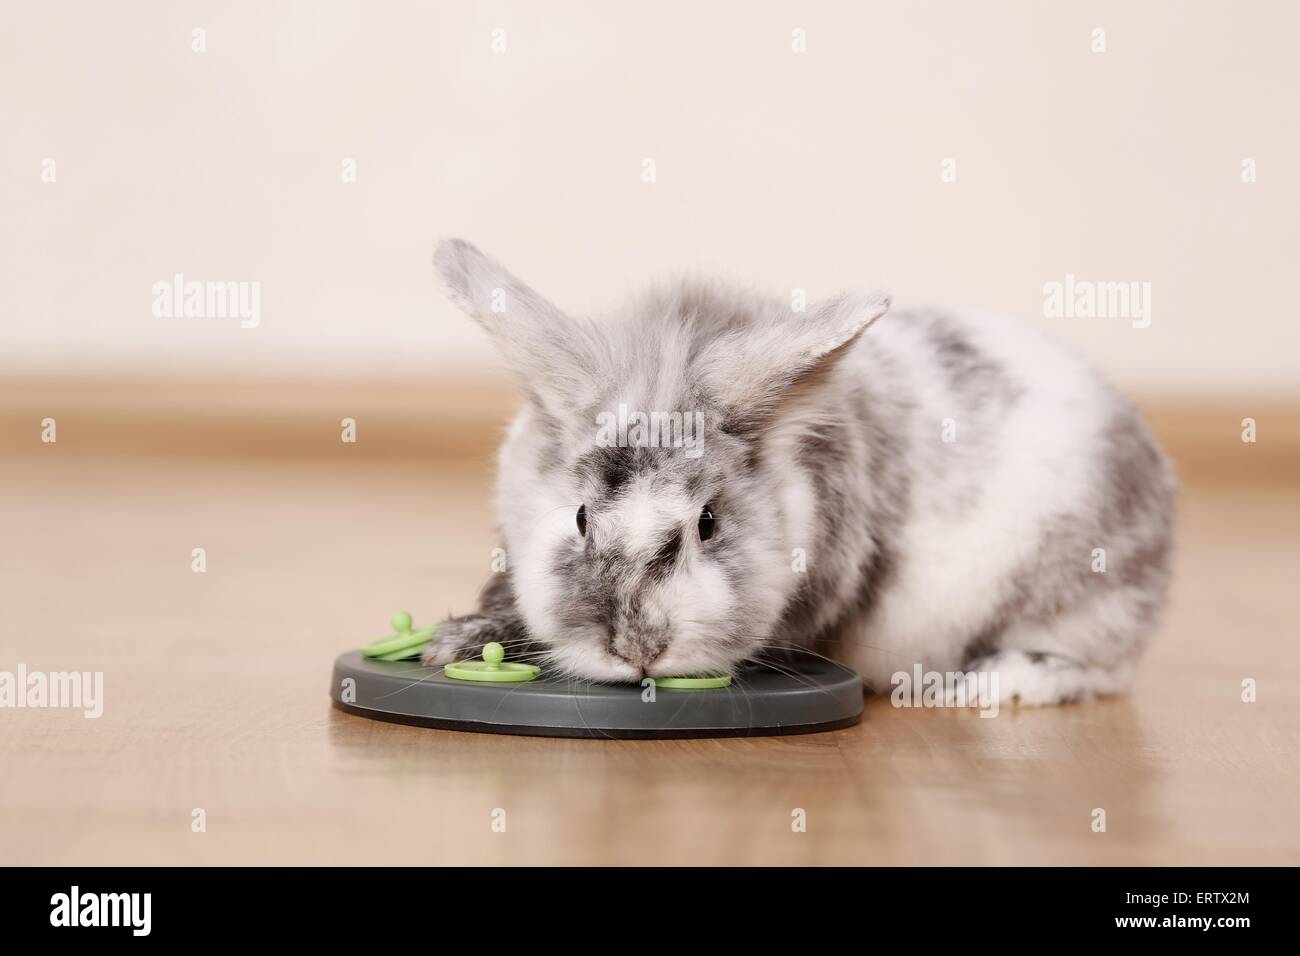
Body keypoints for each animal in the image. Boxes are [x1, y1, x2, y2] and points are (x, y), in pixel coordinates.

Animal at [423, 238, 1176, 706]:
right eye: (579, 517)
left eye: (708, 521)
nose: (639, 648)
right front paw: (451, 642)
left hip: (1075, 598)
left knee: (1100, 671)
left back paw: (986, 685)